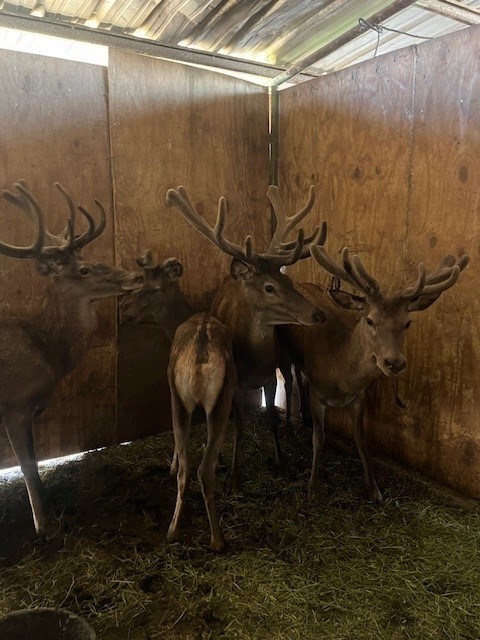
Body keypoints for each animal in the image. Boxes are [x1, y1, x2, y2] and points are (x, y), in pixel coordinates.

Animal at [0, 181, 144, 538]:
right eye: (84, 270)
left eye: (89, 259)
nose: (136, 276)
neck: (47, 350)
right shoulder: (14, 404)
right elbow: (28, 466)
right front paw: (44, 526)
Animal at [165, 185, 328, 490]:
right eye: (269, 287)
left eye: (288, 281)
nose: (318, 314)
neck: (254, 361)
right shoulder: (235, 381)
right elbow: (238, 425)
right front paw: (233, 473)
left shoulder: (268, 376)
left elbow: (271, 420)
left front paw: (282, 463)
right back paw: (218, 460)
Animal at [278, 244, 469, 503]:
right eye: (369, 320)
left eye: (408, 322)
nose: (394, 362)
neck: (339, 375)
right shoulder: (318, 393)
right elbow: (319, 439)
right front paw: (312, 489)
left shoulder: (360, 396)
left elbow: (361, 438)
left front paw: (373, 489)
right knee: (290, 379)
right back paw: (290, 423)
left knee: (299, 374)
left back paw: (303, 415)